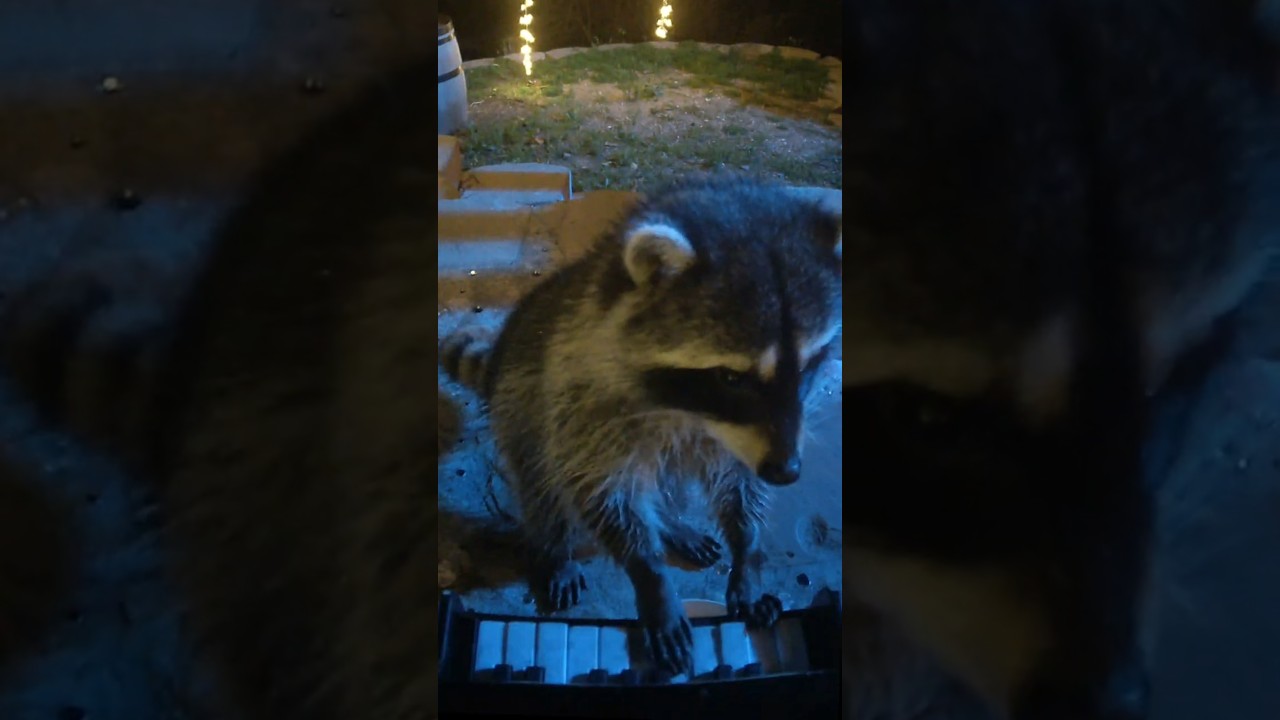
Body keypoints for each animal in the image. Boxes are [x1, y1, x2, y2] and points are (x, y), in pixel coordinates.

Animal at [440, 176, 843, 676]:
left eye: (808, 366)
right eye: (731, 378)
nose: (787, 472)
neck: (695, 412)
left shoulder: (752, 437)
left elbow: (740, 481)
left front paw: (746, 553)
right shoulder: (581, 395)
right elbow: (602, 489)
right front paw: (652, 582)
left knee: (664, 480)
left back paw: (671, 523)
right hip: (522, 405)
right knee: (543, 482)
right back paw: (555, 548)